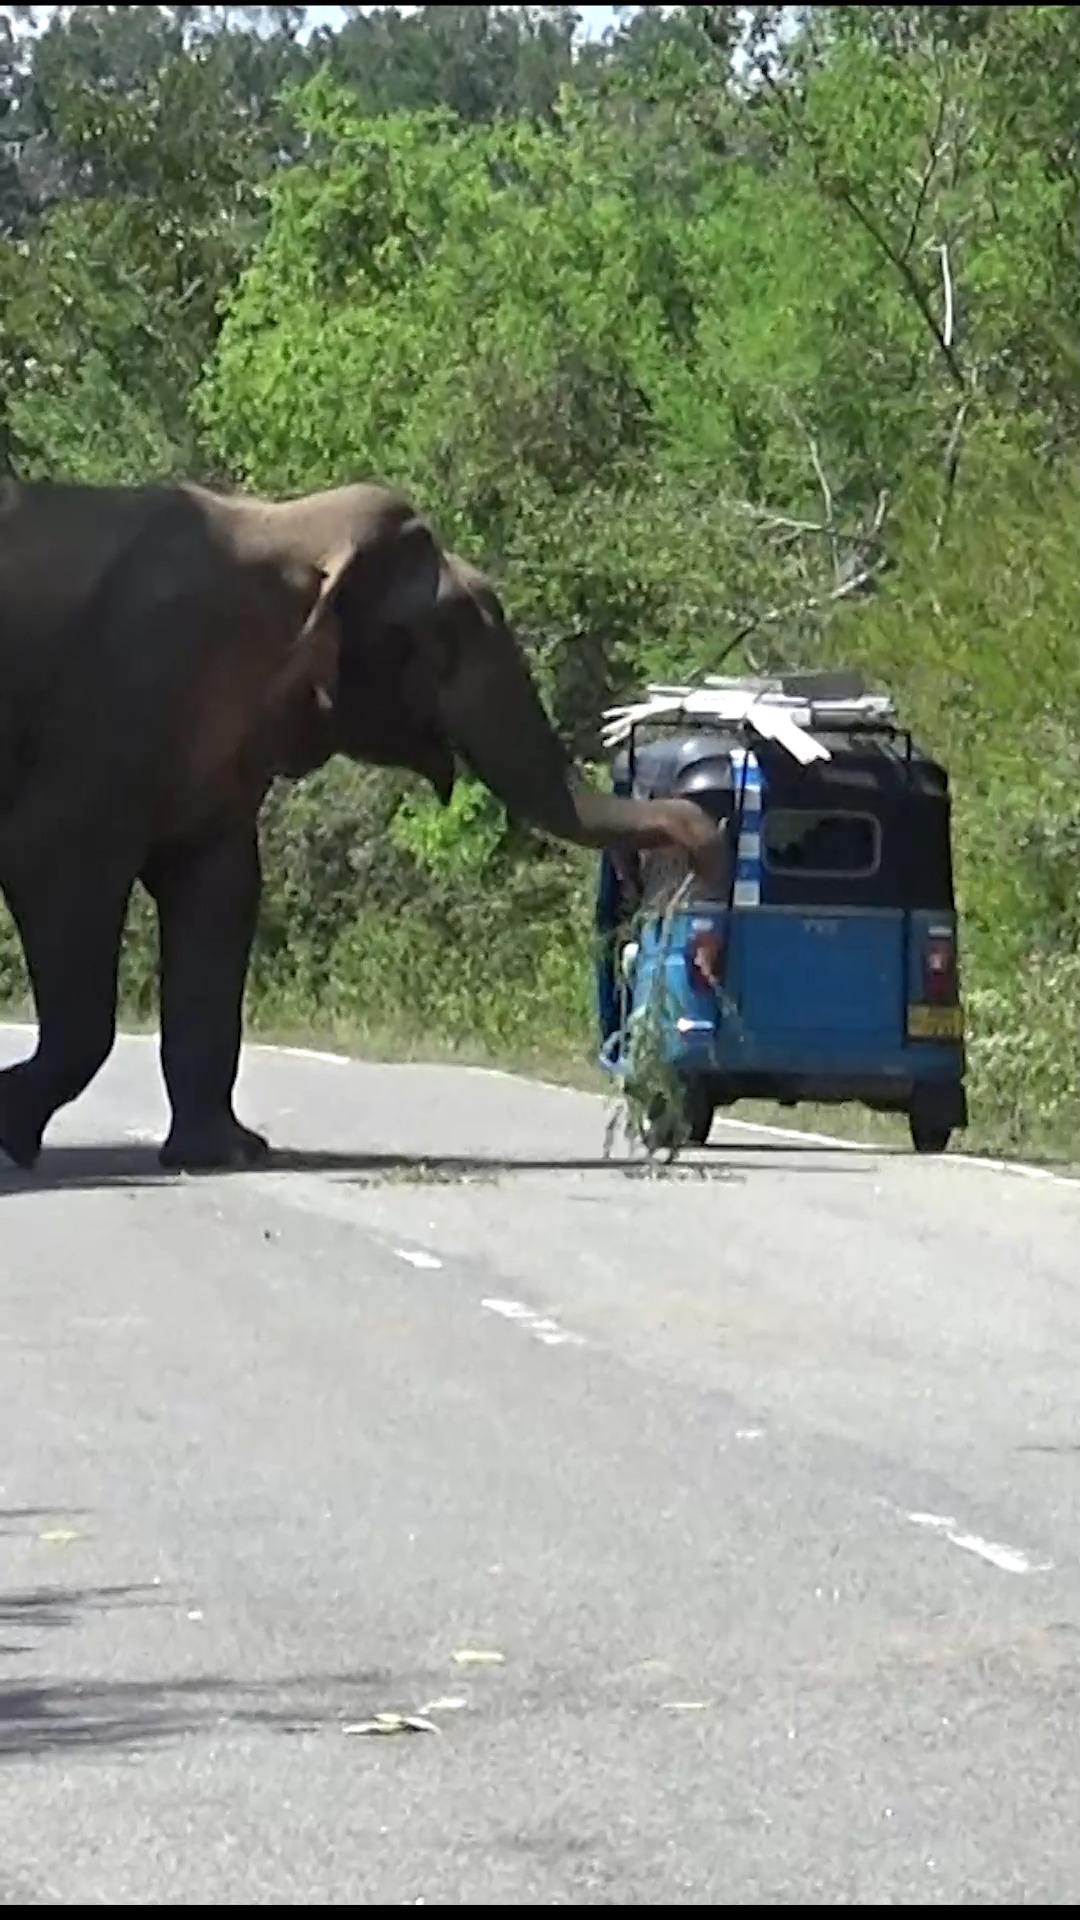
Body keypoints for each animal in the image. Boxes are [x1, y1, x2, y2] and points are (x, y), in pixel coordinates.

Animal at [0, 473, 722, 1173]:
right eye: (444, 636)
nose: (701, 840)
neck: (281, 524)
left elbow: (221, 896)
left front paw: (227, 1155)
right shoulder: (114, 708)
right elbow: (56, 868)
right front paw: (12, 1134)